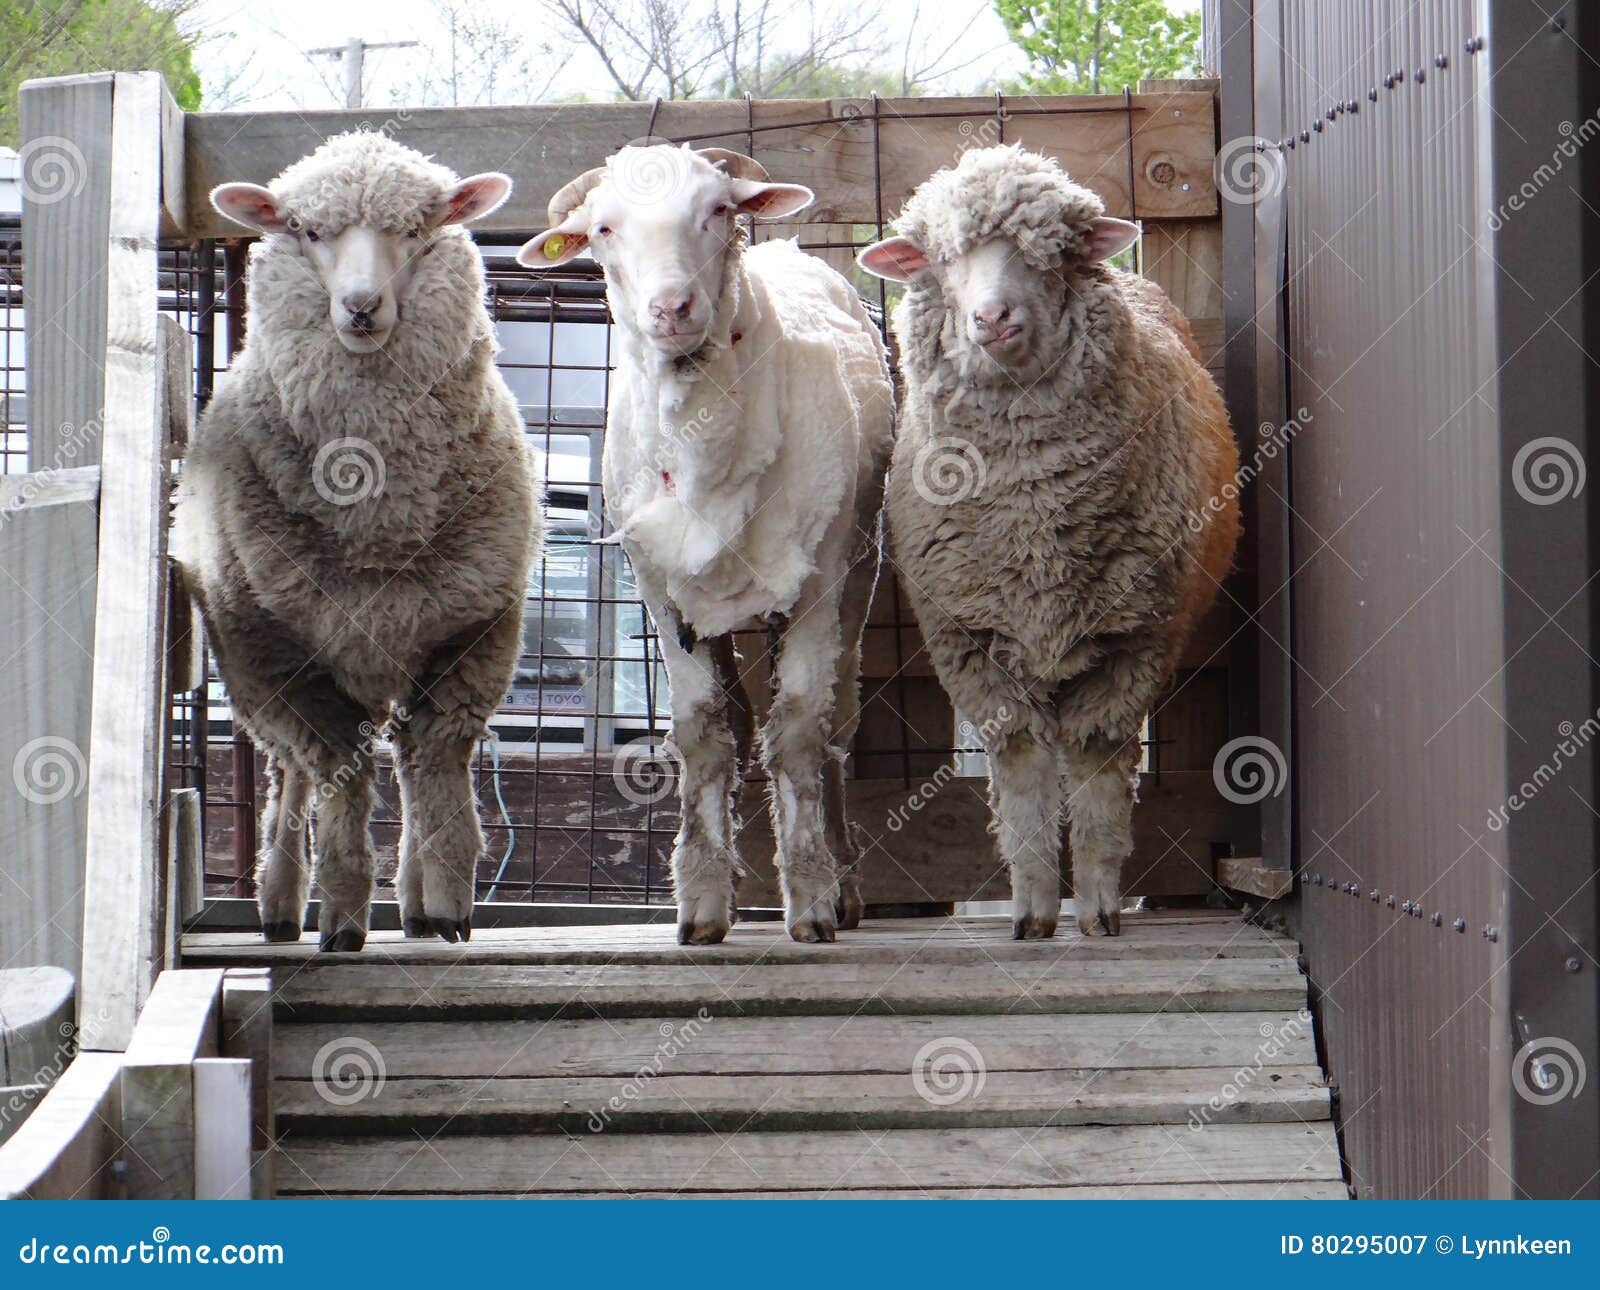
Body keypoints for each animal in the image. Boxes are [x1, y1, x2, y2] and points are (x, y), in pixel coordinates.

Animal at [172, 131, 539, 951]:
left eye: (416, 228)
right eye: (307, 231)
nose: (362, 308)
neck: (380, 520)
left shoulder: (472, 634)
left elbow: (436, 766)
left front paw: (449, 903)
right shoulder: (281, 657)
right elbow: (338, 773)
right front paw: (341, 914)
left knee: (400, 759)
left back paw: (414, 906)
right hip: (261, 670)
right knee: (292, 775)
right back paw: (280, 904)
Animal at [519, 144, 894, 944]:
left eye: (718, 210)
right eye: (602, 229)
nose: (671, 309)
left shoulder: (818, 586)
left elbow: (800, 733)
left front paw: (811, 895)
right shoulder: (661, 594)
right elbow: (702, 734)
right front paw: (700, 899)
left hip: (857, 572)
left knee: (834, 726)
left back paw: (844, 882)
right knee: (744, 719)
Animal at [858, 144, 1240, 940]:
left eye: (1052, 256)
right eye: (943, 258)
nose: (990, 316)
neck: (1032, 513)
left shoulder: (1135, 643)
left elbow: (1095, 777)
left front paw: (1096, 907)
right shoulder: (974, 645)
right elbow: (1027, 772)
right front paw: (1032, 909)